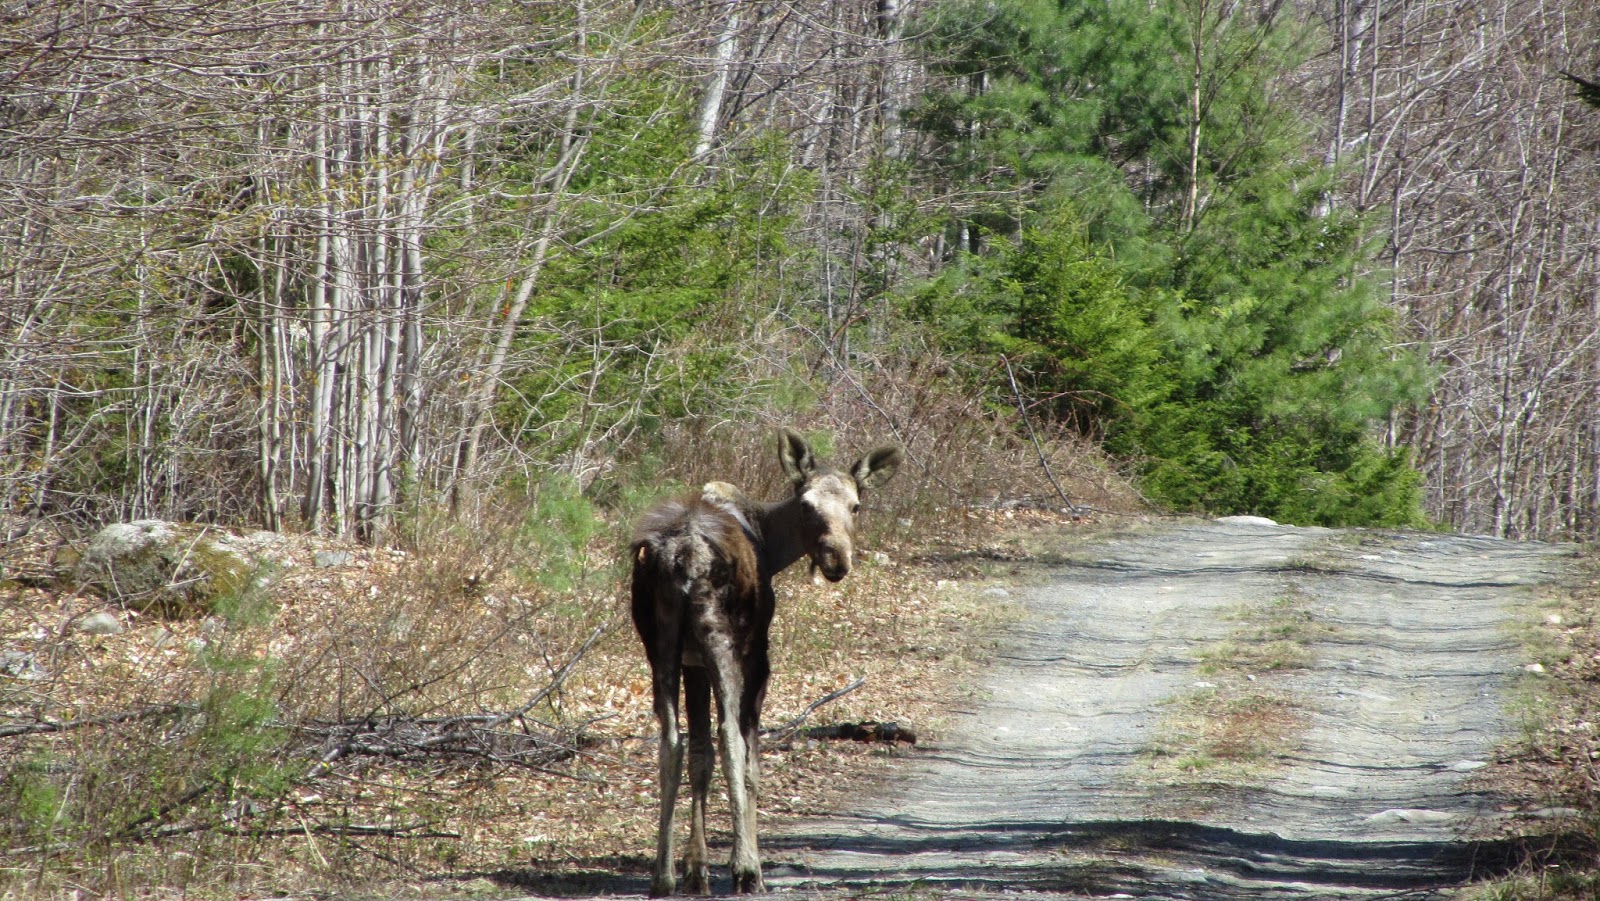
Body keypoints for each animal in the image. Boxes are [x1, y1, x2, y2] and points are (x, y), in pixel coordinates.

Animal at [630, 428, 902, 896]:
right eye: (806, 505)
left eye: (856, 505)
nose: (836, 559)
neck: (772, 547)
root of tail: (683, 558)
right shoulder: (757, 655)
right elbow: (749, 761)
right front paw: (735, 862)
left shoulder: (691, 664)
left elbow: (699, 756)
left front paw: (696, 869)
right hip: (723, 642)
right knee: (730, 739)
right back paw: (747, 868)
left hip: (660, 646)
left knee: (671, 742)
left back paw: (662, 876)